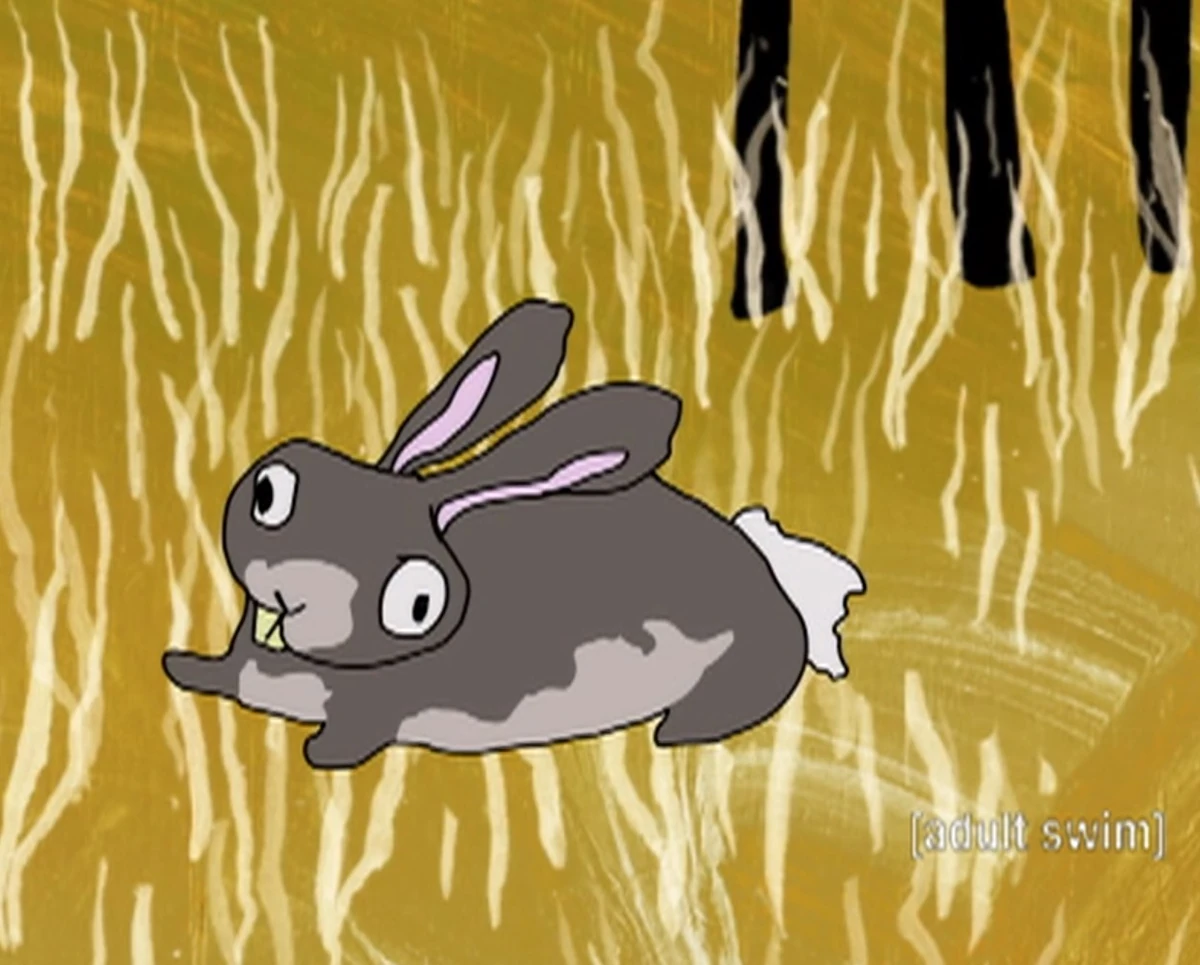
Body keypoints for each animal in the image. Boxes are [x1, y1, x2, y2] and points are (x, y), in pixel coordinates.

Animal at [162, 298, 867, 770]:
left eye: (417, 603)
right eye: (271, 491)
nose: (292, 595)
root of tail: (772, 575)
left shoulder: (381, 710)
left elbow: (353, 733)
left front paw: (320, 752)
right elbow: (221, 670)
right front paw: (182, 666)